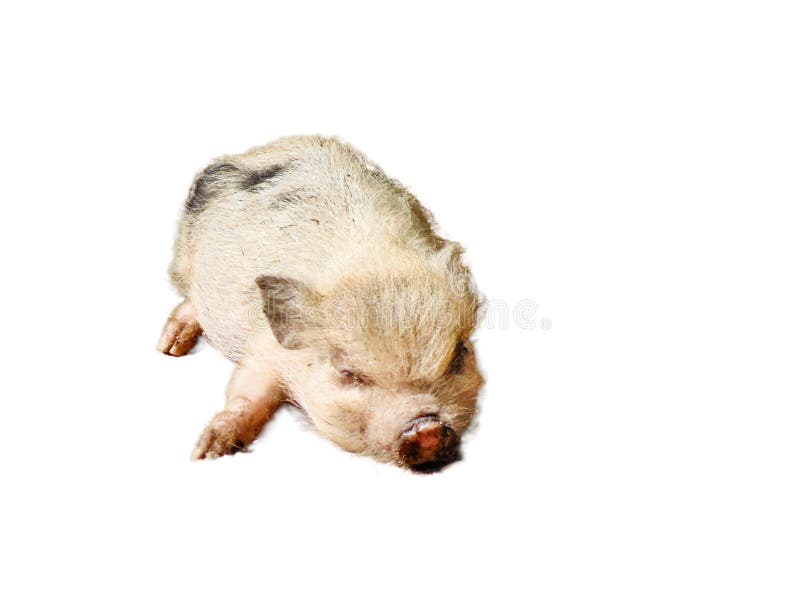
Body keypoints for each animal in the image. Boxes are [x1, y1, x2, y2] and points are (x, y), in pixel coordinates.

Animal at [157, 136, 484, 471]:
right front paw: (204, 454)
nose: (427, 428)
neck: (370, 268)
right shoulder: (265, 347)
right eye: (348, 373)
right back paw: (168, 349)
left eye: (459, 356)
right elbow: (248, 391)